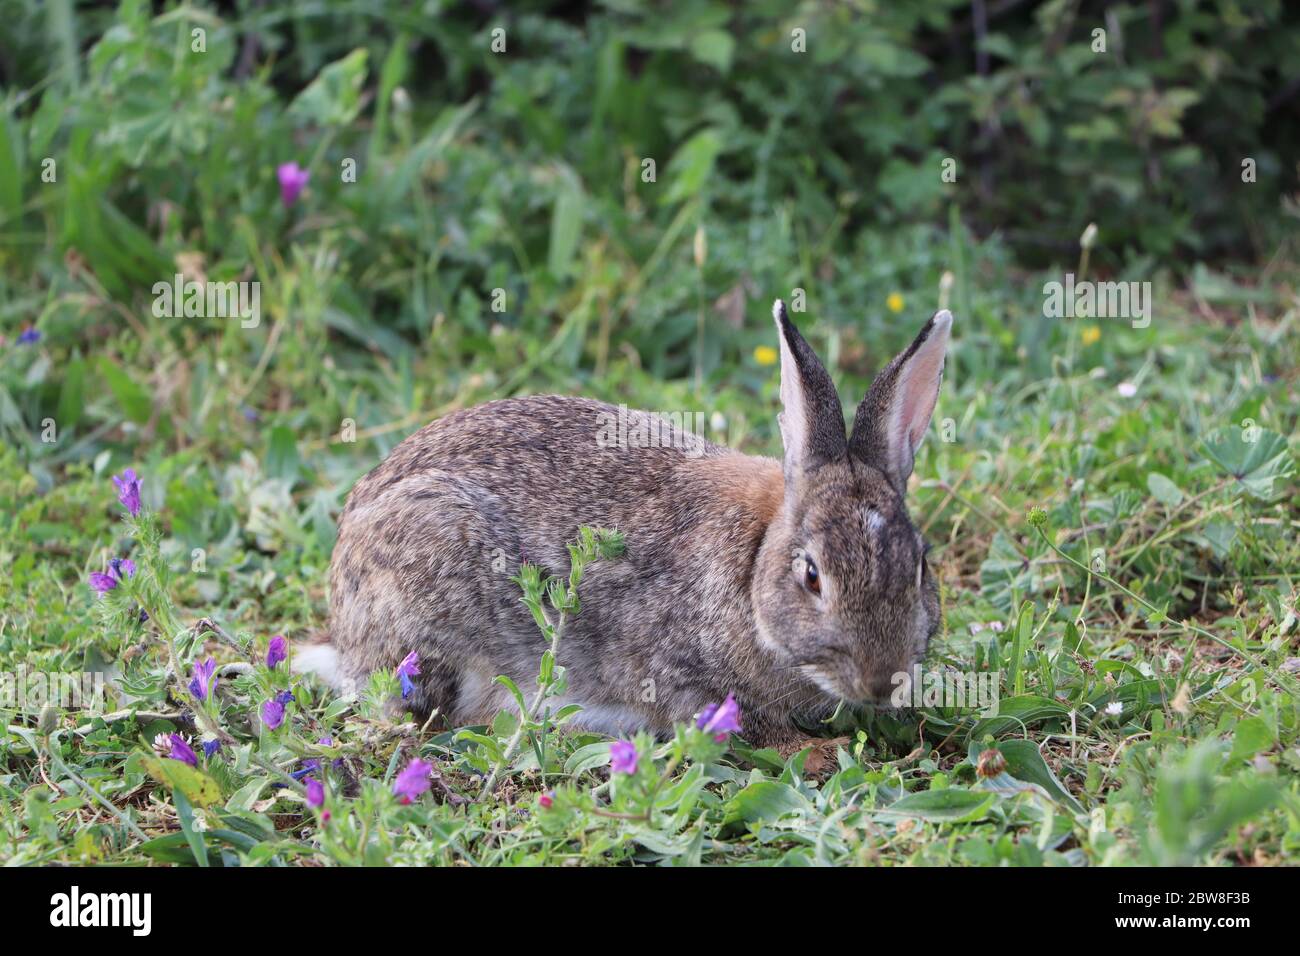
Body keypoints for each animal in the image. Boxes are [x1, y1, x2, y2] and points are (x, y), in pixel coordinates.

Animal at [296, 300, 951, 750]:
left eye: (920, 567)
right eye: (812, 576)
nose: (881, 682)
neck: (753, 568)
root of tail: (343, 635)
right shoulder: (686, 681)